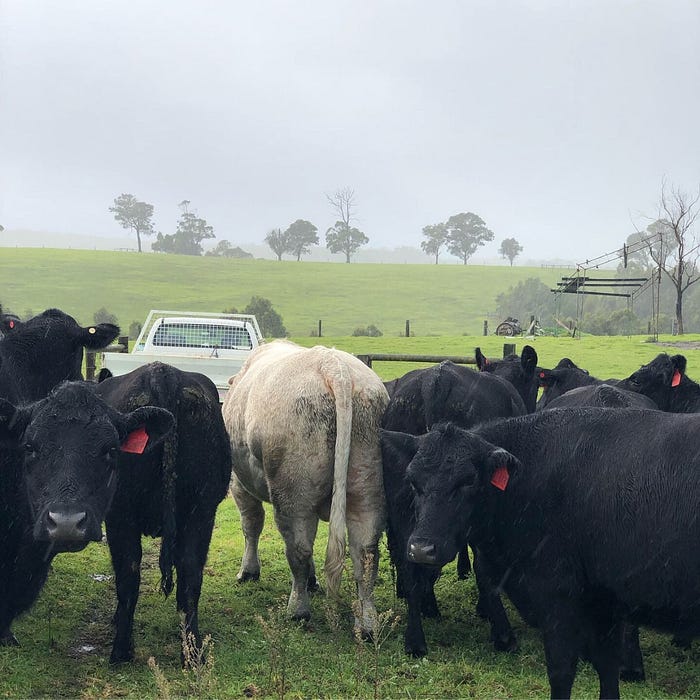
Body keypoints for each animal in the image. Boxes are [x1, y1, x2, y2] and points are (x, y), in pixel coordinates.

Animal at [95, 362, 232, 663]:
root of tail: (163, 373)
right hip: (201, 510)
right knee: (190, 572)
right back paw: (192, 655)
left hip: (121, 512)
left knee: (128, 571)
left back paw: (121, 650)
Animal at [222, 340, 388, 637]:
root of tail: (334, 366)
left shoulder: (239, 483)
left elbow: (251, 525)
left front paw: (248, 572)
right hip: (368, 487)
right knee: (365, 553)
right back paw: (367, 624)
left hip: (292, 493)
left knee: (298, 549)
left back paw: (298, 610)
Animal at [385, 408, 700, 699]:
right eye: (413, 481)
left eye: (468, 481)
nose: (421, 549)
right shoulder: (603, 604)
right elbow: (608, 670)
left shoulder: (559, 601)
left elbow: (561, 673)